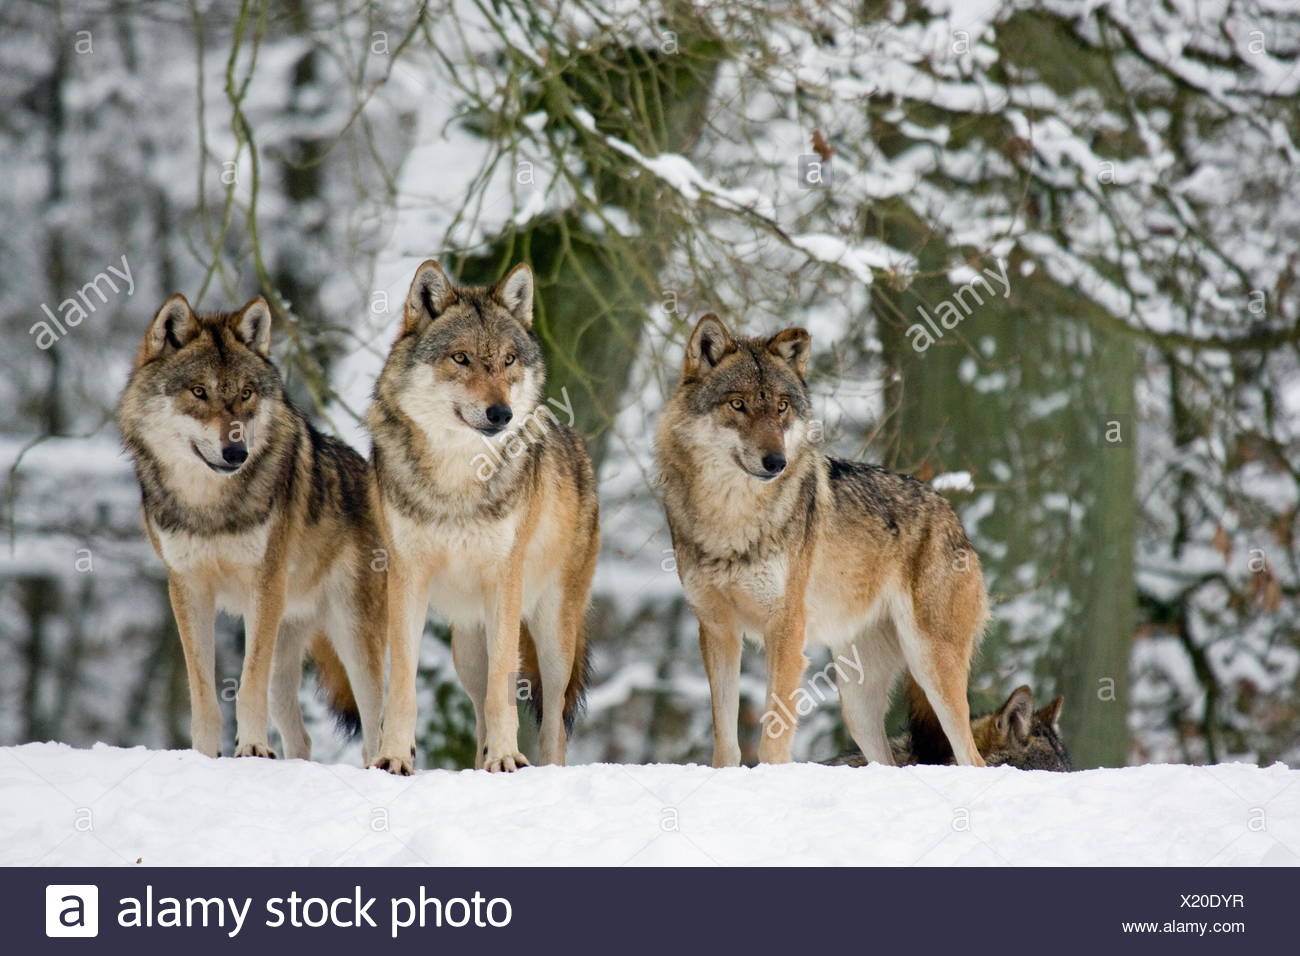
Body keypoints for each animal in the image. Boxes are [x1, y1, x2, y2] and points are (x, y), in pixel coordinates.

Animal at [117, 294, 386, 762]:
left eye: (245, 393)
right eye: (199, 391)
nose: (236, 453)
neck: (210, 506)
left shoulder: (263, 585)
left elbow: (247, 684)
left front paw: (254, 748)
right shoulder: (187, 588)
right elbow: (203, 692)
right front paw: (206, 756)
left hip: (354, 637)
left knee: (376, 725)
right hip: (289, 644)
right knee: (302, 736)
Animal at [367, 261, 598, 775]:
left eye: (509, 360)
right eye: (461, 358)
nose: (501, 413)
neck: (457, 477)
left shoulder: (504, 580)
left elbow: (503, 692)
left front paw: (508, 756)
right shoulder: (405, 578)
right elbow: (402, 686)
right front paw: (394, 757)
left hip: (553, 638)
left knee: (553, 720)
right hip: (467, 649)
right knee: (476, 714)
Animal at [655, 314, 990, 767]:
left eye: (782, 407)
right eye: (737, 404)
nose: (776, 462)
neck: (732, 518)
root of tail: (954, 517)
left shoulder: (786, 630)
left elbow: (773, 738)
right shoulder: (716, 630)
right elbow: (725, 739)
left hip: (932, 666)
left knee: (974, 757)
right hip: (857, 703)